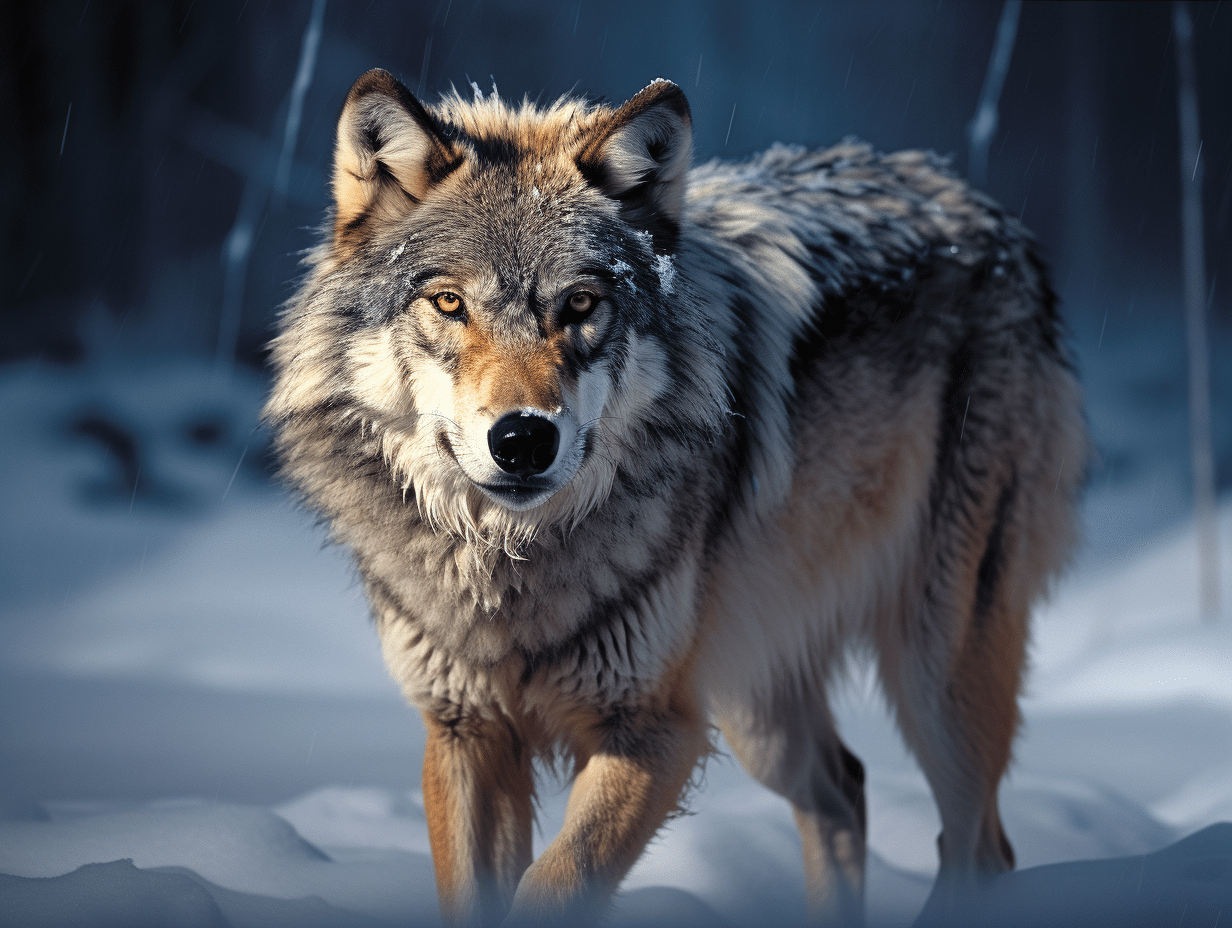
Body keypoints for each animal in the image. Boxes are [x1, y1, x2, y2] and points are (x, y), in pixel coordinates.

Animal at [264, 69, 1088, 927]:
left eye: (581, 305)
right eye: (450, 303)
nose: (523, 439)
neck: (513, 567)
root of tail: (981, 208)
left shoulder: (655, 730)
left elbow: (551, 883)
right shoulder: (465, 732)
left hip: (935, 668)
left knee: (979, 848)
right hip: (759, 698)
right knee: (846, 789)